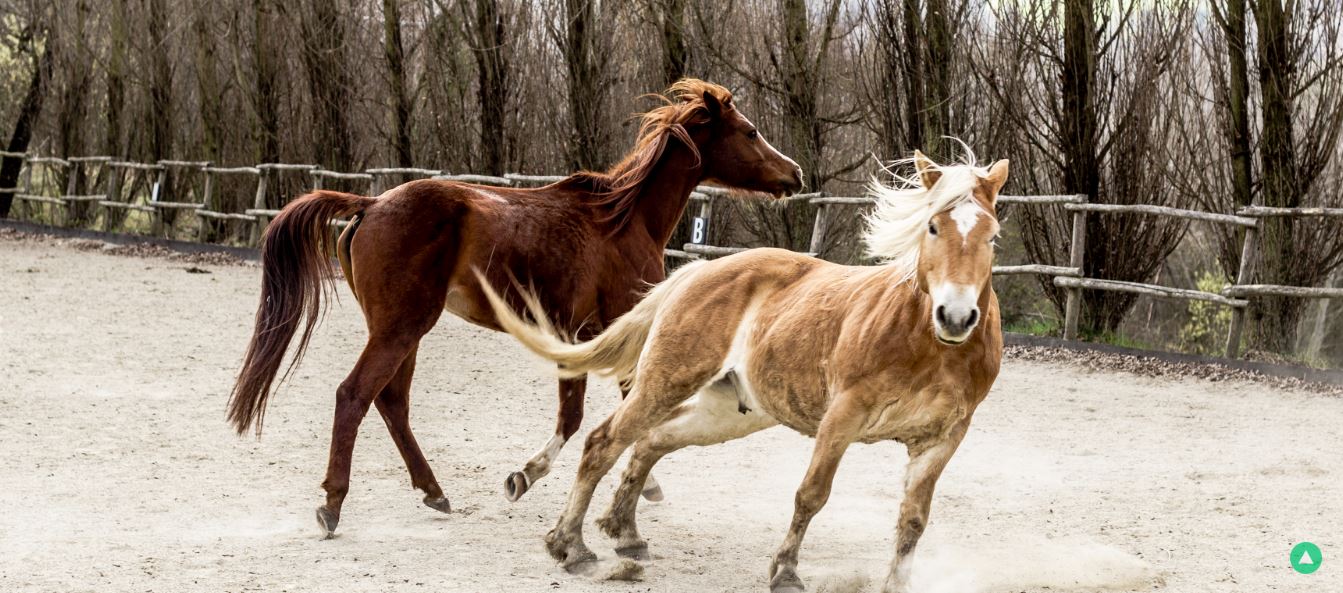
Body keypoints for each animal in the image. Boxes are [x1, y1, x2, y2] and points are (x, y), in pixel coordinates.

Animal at [226, 79, 804, 537]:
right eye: (751, 131)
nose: (795, 174)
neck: (621, 221)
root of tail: (371, 205)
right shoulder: (593, 332)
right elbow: (587, 415)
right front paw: (525, 477)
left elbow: (613, 408)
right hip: (401, 327)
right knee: (354, 395)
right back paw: (332, 505)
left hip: (402, 329)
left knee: (392, 402)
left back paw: (434, 491)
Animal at [480, 150, 1008, 592]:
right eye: (933, 227)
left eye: (992, 234)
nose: (956, 316)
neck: (926, 343)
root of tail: (696, 272)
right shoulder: (842, 418)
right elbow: (811, 495)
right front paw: (786, 571)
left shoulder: (942, 440)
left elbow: (913, 520)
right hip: (665, 381)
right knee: (604, 442)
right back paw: (571, 547)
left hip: (729, 415)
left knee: (651, 441)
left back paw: (626, 535)